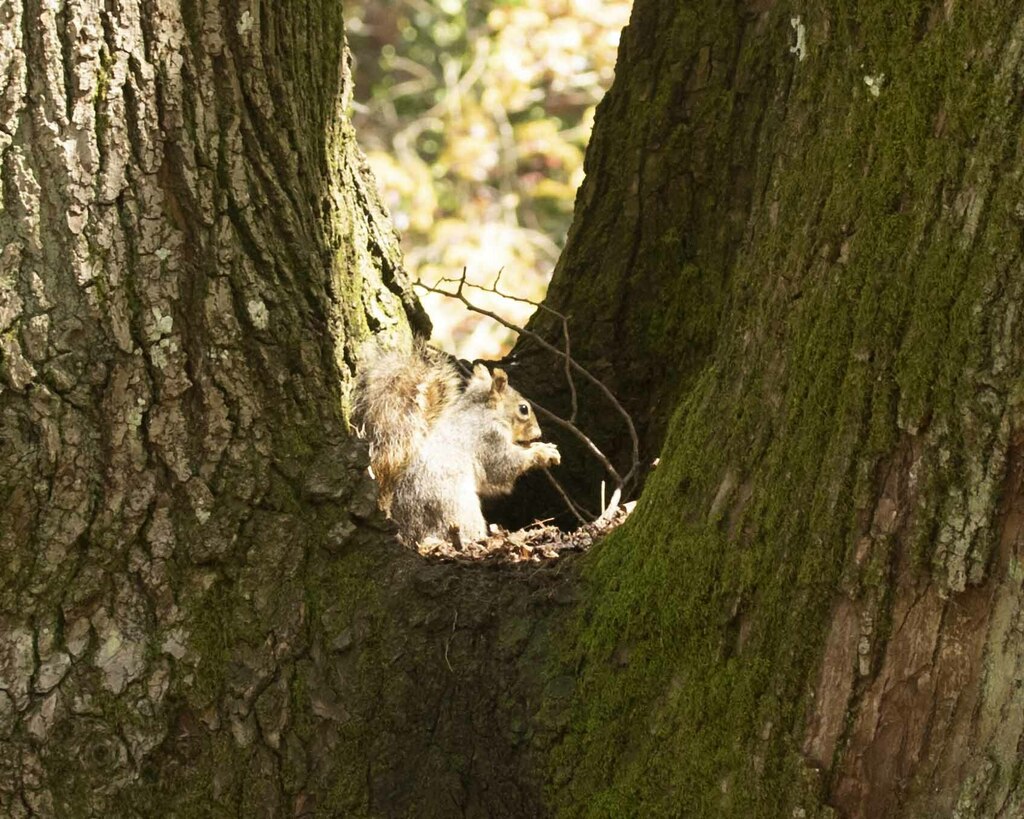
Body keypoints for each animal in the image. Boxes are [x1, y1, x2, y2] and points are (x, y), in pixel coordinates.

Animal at [354, 341, 561, 544]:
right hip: (456, 507)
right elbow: (503, 467)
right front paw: (541, 453)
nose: (538, 433)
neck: (486, 412)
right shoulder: (489, 439)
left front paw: (541, 447)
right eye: (523, 409)